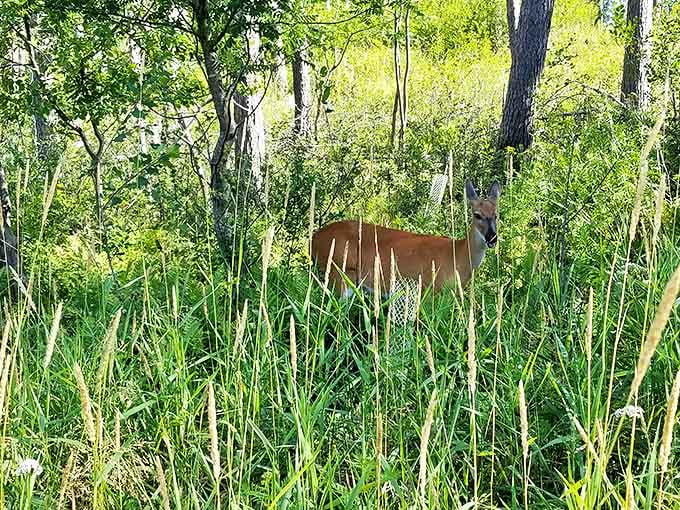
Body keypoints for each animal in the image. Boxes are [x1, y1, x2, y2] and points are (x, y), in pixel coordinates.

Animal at [311, 179, 500, 297]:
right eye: (477, 215)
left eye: (496, 214)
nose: (492, 238)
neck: (458, 256)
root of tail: (313, 239)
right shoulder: (428, 289)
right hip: (338, 274)